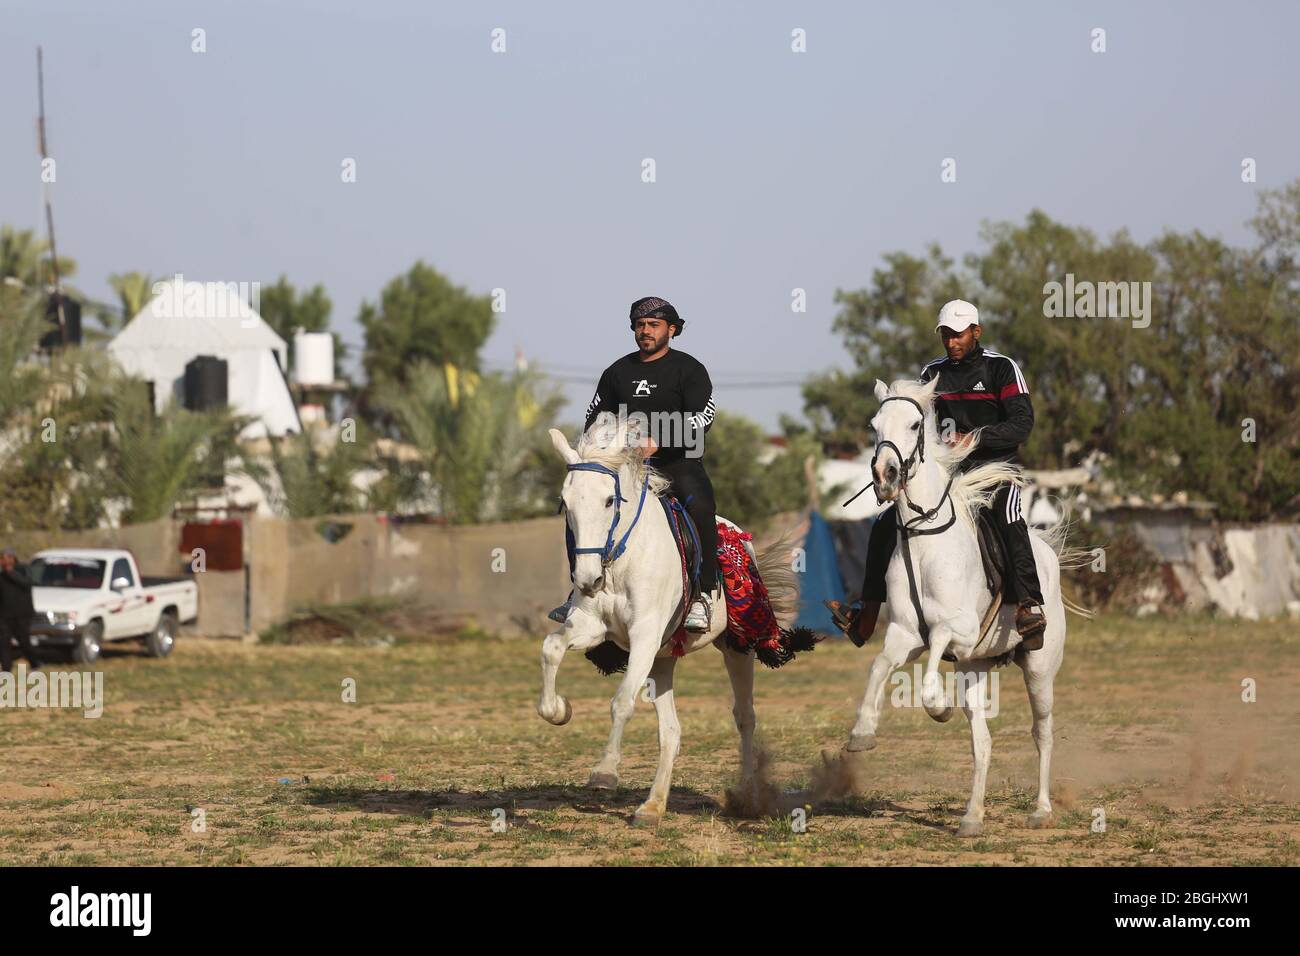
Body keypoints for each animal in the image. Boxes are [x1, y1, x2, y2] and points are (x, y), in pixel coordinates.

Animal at [537, 413, 815, 827]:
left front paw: (605, 772)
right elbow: (552, 647)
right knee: (671, 730)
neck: (623, 559)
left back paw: (748, 796)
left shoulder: (644, 635)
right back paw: (652, 807)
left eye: (609, 500)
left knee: (744, 716)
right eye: (565, 502)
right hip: (663, 659)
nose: (587, 579)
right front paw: (559, 710)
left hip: (736, 647)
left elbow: (622, 702)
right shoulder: (593, 627)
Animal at [844, 376, 1089, 837]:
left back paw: (1041, 810)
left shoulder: (955, 630)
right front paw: (862, 731)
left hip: (1039, 669)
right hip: (974, 668)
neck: (925, 538)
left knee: (1042, 733)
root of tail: (1046, 551)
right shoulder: (905, 633)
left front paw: (938, 708)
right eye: (874, 425)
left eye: (914, 425)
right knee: (983, 743)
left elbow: (928, 676)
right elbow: (878, 667)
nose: (885, 475)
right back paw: (972, 817)